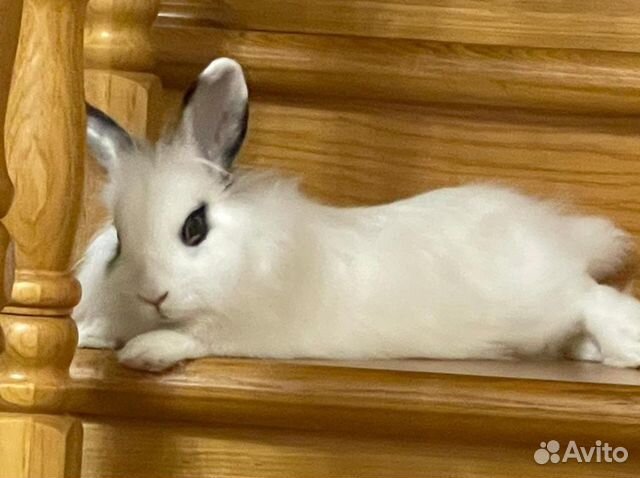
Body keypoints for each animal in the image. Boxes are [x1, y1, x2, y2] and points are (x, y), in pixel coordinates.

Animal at [74, 57, 640, 372]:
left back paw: (623, 352)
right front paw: (93, 334)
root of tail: (562, 236)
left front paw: (145, 351)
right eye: (120, 239)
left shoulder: (250, 329)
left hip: (544, 299)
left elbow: (197, 337)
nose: (153, 295)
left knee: (593, 299)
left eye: (195, 227)